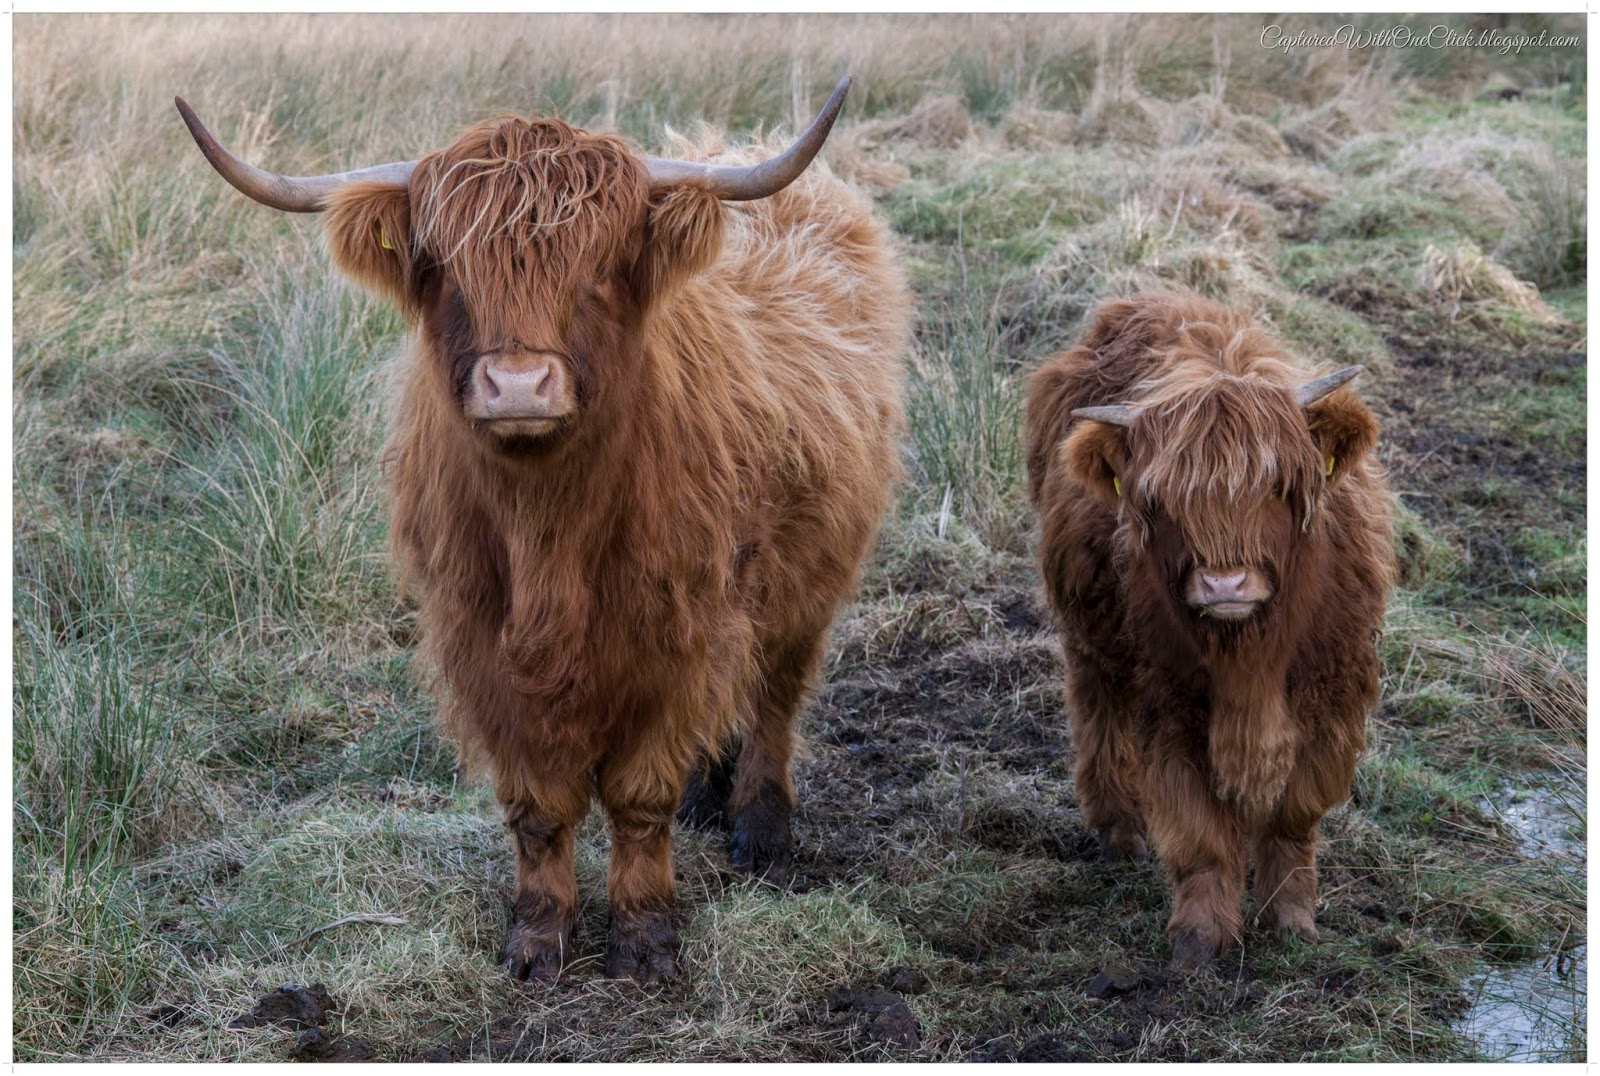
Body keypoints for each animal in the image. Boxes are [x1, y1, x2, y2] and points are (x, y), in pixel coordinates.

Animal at [176, 79, 910, 983]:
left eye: (598, 271)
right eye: (449, 273)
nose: (519, 384)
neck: (547, 536)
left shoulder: (681, 633)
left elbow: (638, 796)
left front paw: (644, 936)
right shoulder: (479, 642)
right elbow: (536, 804)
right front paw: (537, 936)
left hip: (810, 578)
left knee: (776, 692)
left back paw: (759, 825)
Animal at [1022, 293, 1394, 973]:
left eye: (1278, 487)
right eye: (1163, 502)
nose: (1224, 584)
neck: (1252, 657)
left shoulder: (1333, 701)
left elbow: (1293, 817)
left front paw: (1292, 922)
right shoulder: (1172, 705)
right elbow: (1197, 833)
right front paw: (1199, 941)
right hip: (1090, 634)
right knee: (1098, 707)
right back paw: (1119, 832)